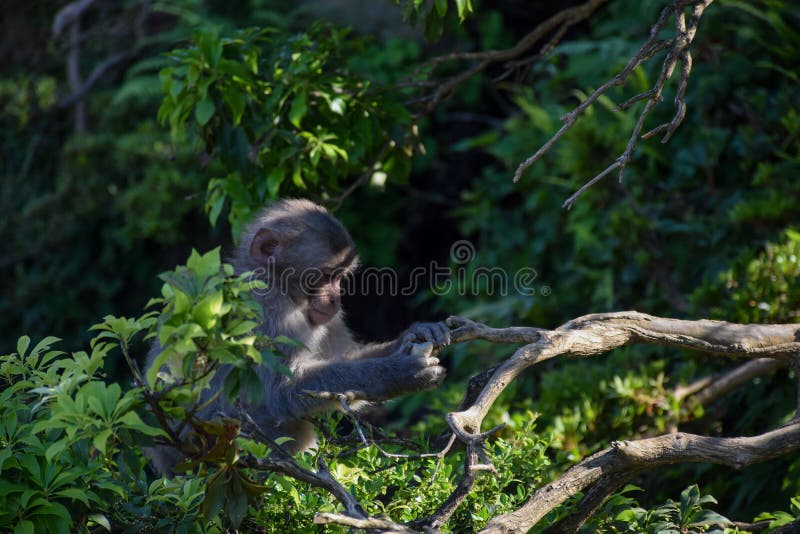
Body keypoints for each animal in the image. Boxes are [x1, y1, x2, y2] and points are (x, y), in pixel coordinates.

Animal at [147, 199, 449, 474]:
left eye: (340, 277)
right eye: (324, 276)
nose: (335, 299)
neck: (280, 285)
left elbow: (344, 357)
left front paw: (414, 335)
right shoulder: (266, 307)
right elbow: (283, 391)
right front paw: (401, 372)